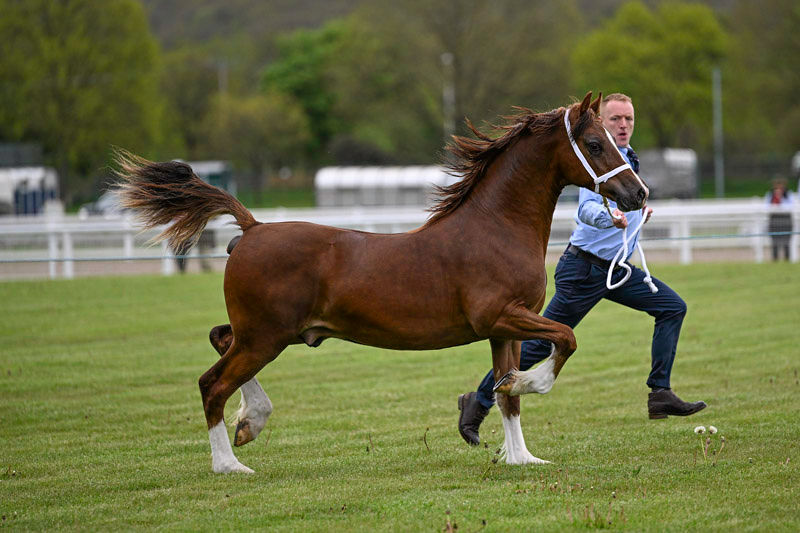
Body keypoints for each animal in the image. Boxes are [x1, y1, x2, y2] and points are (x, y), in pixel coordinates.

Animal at [115, 92, 648, 473]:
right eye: (595, 143)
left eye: (612, 136)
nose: (639, 194)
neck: (496, 227)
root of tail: (252, 228)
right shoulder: (501, 316)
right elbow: (565, 340)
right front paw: (529, 383)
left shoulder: (504, 329)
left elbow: (506, 395)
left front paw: (521, 457)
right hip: (266, 336)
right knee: (212, 384)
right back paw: (230, 463)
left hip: (265, 333)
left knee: (219, 341)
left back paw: (250, 422)